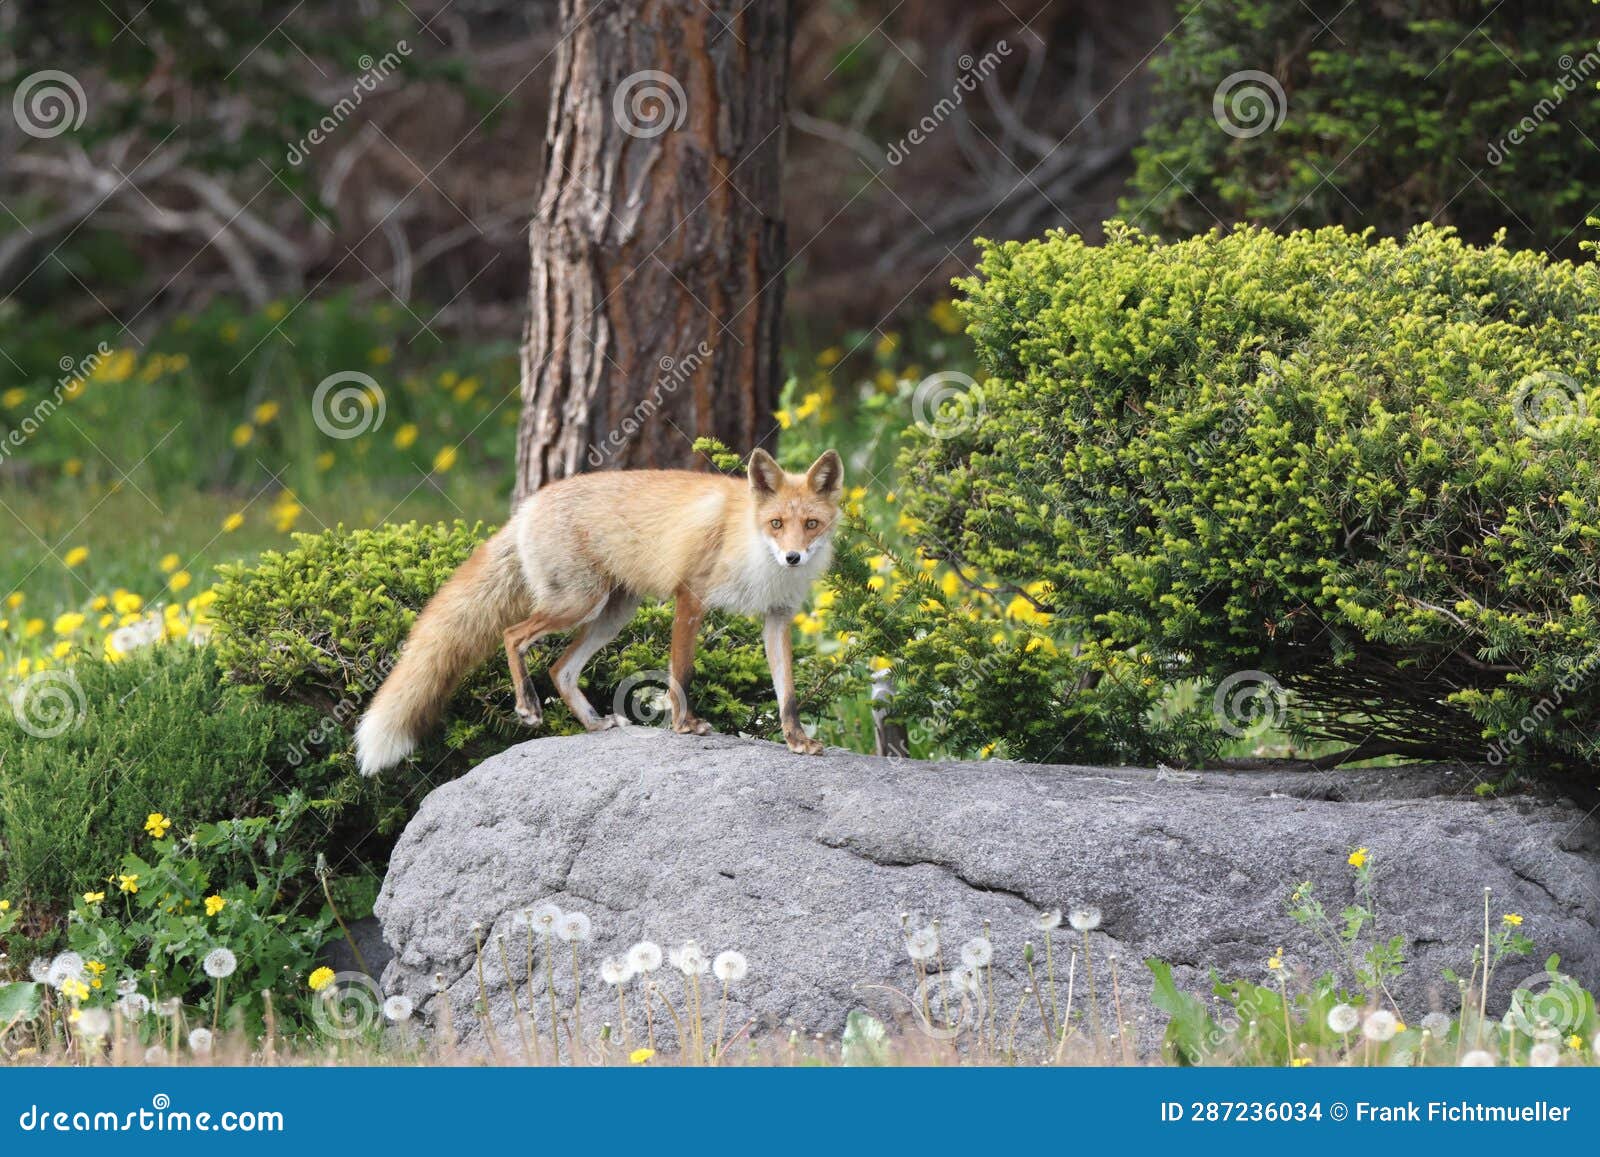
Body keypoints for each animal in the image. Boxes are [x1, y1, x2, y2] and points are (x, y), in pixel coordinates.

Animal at [353, 448, 844, 776]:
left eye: (811, 525)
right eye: (776, 524)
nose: (793, 558)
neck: (753, 547)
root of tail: (529, 504)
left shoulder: (777, 617)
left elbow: (788, 693)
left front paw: (797, 741)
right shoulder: (690, 595)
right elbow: (681, 673)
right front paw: (684, 725)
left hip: (610, 616)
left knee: (559, 668)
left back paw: (592, 722)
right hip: (577, 603)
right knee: (513, 635)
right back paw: (528, 707)